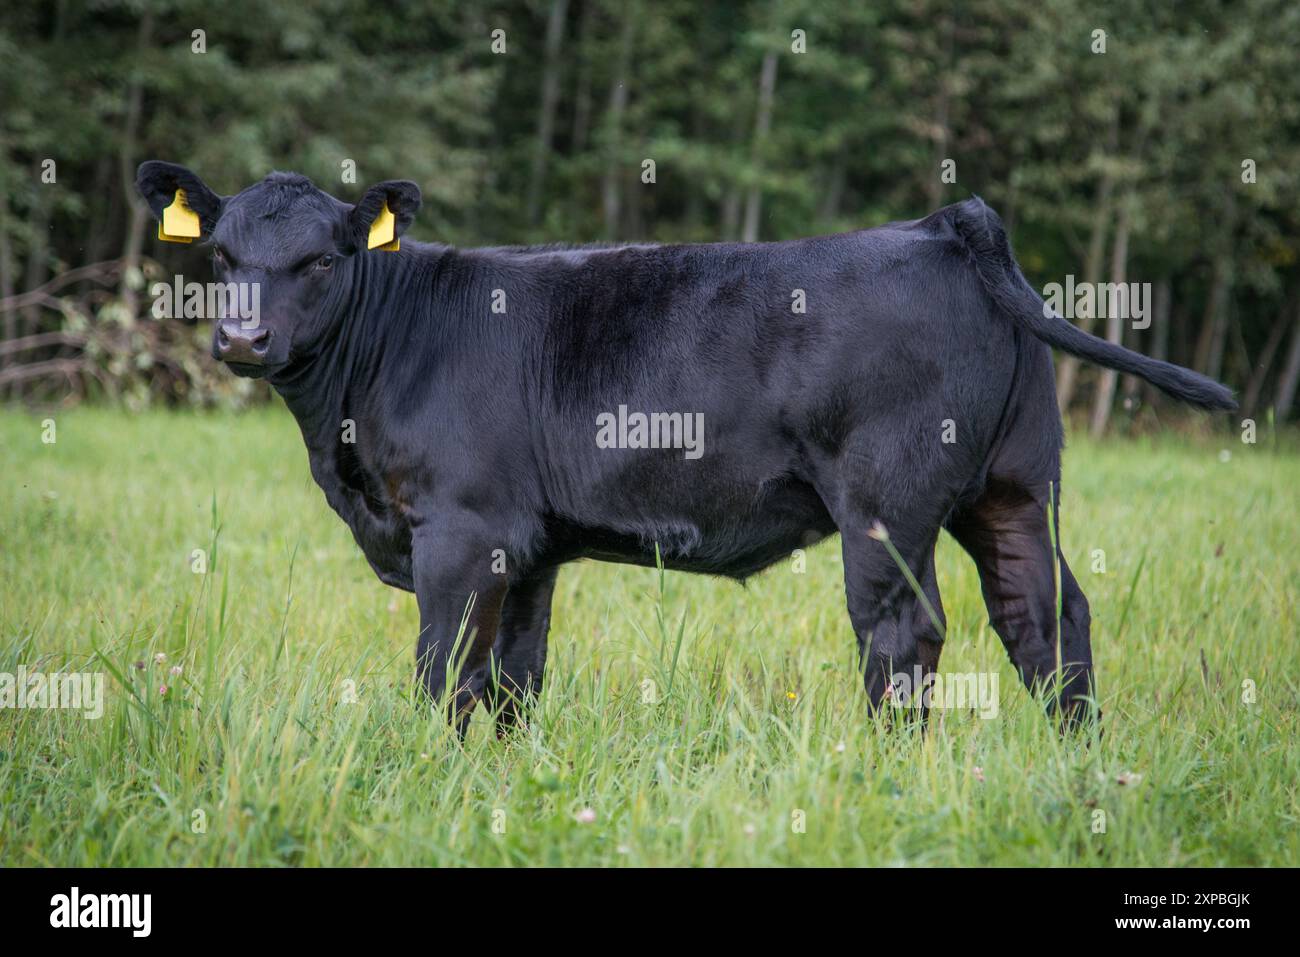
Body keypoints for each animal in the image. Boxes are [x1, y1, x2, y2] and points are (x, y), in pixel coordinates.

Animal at [136, 161, 1236, 734]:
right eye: (220, 256)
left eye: (322, 259)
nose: (242, 339)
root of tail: (939, 223)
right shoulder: (528, 545)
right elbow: (513, 677)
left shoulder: (461, 527)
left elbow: (443, 668)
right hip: (1011, 485)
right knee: (1044, 615)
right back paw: (1076, 755)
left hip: (888, 504)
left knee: (905, 634)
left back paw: (890, 764)